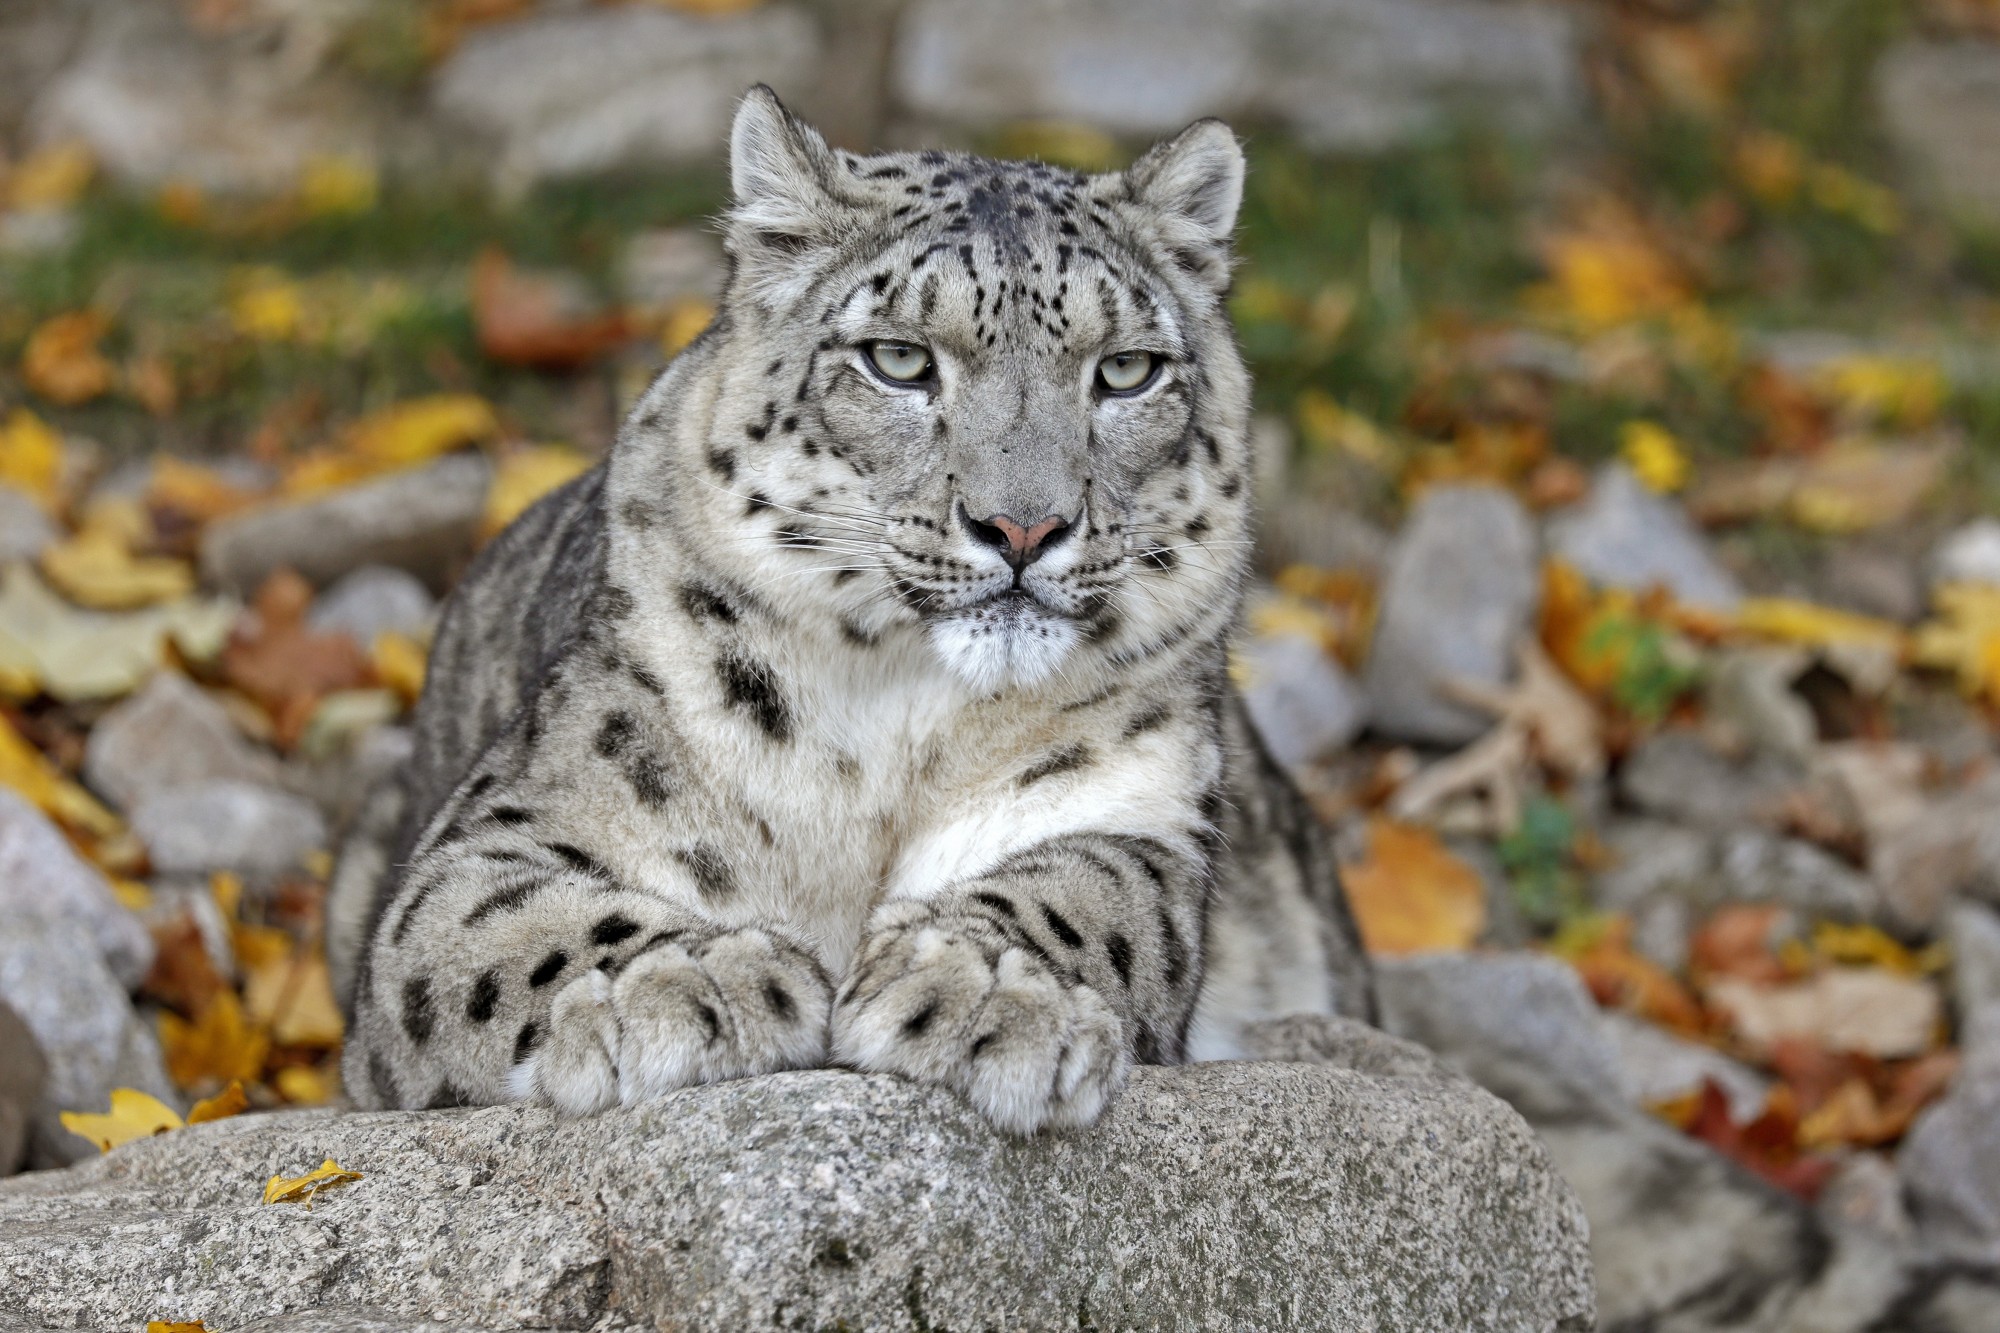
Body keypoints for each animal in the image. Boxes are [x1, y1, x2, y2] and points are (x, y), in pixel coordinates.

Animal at [327, 86, 1374, 1134]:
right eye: (899, 359)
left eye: (1125, 370)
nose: (1024, 526)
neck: (890, 745)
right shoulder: (501, 830)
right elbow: (500, 923)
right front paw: (691, 980)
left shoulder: (1141, 810)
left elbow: (1093, 892)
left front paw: (985, 985)